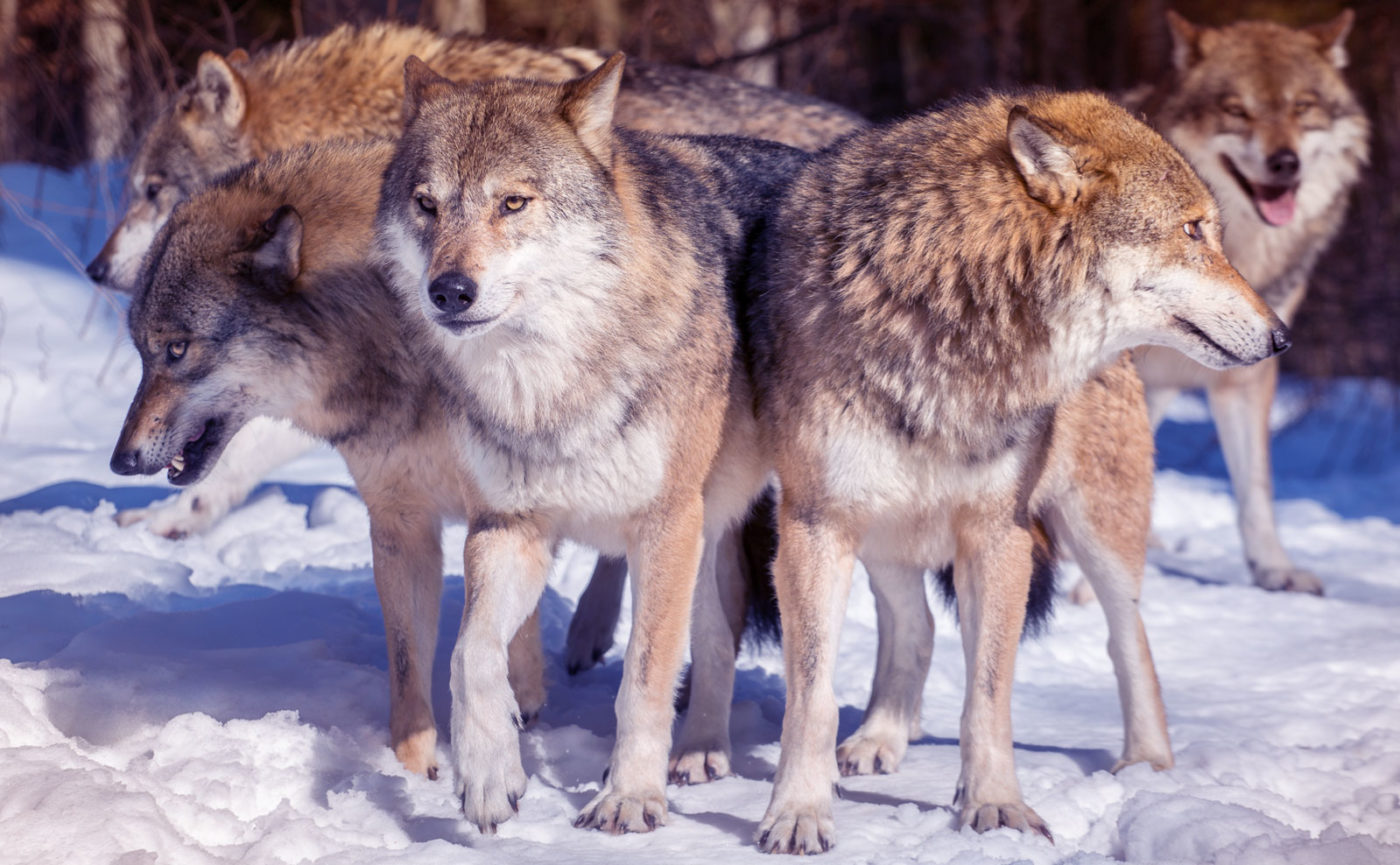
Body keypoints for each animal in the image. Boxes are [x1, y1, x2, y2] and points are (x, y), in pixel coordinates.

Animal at [374, 54, 809, 834]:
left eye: (513, 203)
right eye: (426, 204)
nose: (448, 291)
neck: (547, 383)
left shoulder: (667, 521)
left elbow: (643, 677)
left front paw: (630, 797)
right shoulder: (509, 525)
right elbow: (468, 654)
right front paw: (490, 776)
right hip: (712, 521)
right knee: (716, 632)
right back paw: (699, 750)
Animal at [748, 90, 1290, 853]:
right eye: (1193, 230)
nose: (1283, 337)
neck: (957, 323)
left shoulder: (997, 533)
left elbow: (988, 696)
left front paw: (996, 807)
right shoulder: (814, 525)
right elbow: (813, 696)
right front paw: (798, 810)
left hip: (1097, 529)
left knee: (1129, 640)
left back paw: (1147, 764)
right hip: (887, 532)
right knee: (916, 627)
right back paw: (881, 739)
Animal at [1127, 10, 1369, 594]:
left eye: (1302, 106)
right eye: (1237, 110)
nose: (1285, 163)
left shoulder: (1250, 371)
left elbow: (1255, 488)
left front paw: (1274, 570)